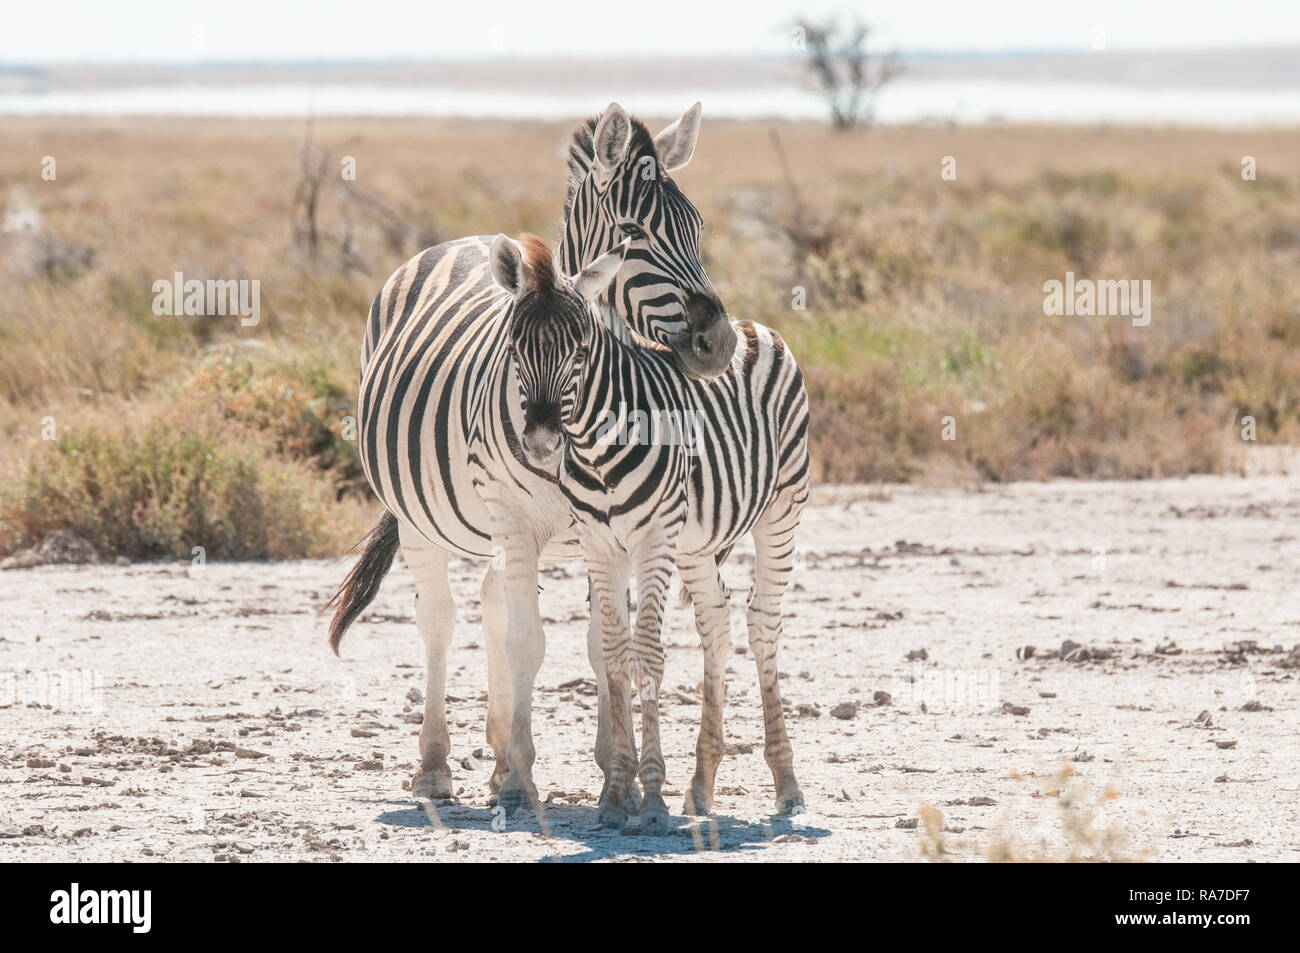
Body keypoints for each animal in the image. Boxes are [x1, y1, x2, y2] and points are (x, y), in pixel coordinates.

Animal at [327, 103, 738, 817]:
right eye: (633, 233)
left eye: (697, 226)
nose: (718, 342)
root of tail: (461, 241)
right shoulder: (520, 520)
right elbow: (530, 640)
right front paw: (528, 777)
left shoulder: (604, 531)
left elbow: (601, 644)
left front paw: (607, 771)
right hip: (419, 515)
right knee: (440, 620)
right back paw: (437, 768)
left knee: (493, 600)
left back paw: (496, 758)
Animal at [488, 232, 810, 832]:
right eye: (516, 351)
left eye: (579, 351)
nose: (541, 443)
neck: (596, 446)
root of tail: (751, 324)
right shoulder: (600, 546)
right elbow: (614, 653)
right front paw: (617, 794)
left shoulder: (653, 541)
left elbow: (649, 653)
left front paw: (653, 795)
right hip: (697, 544)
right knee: (716, 621)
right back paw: (701, 785)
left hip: (782, 508)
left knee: (763, 622)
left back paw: (787, 785)